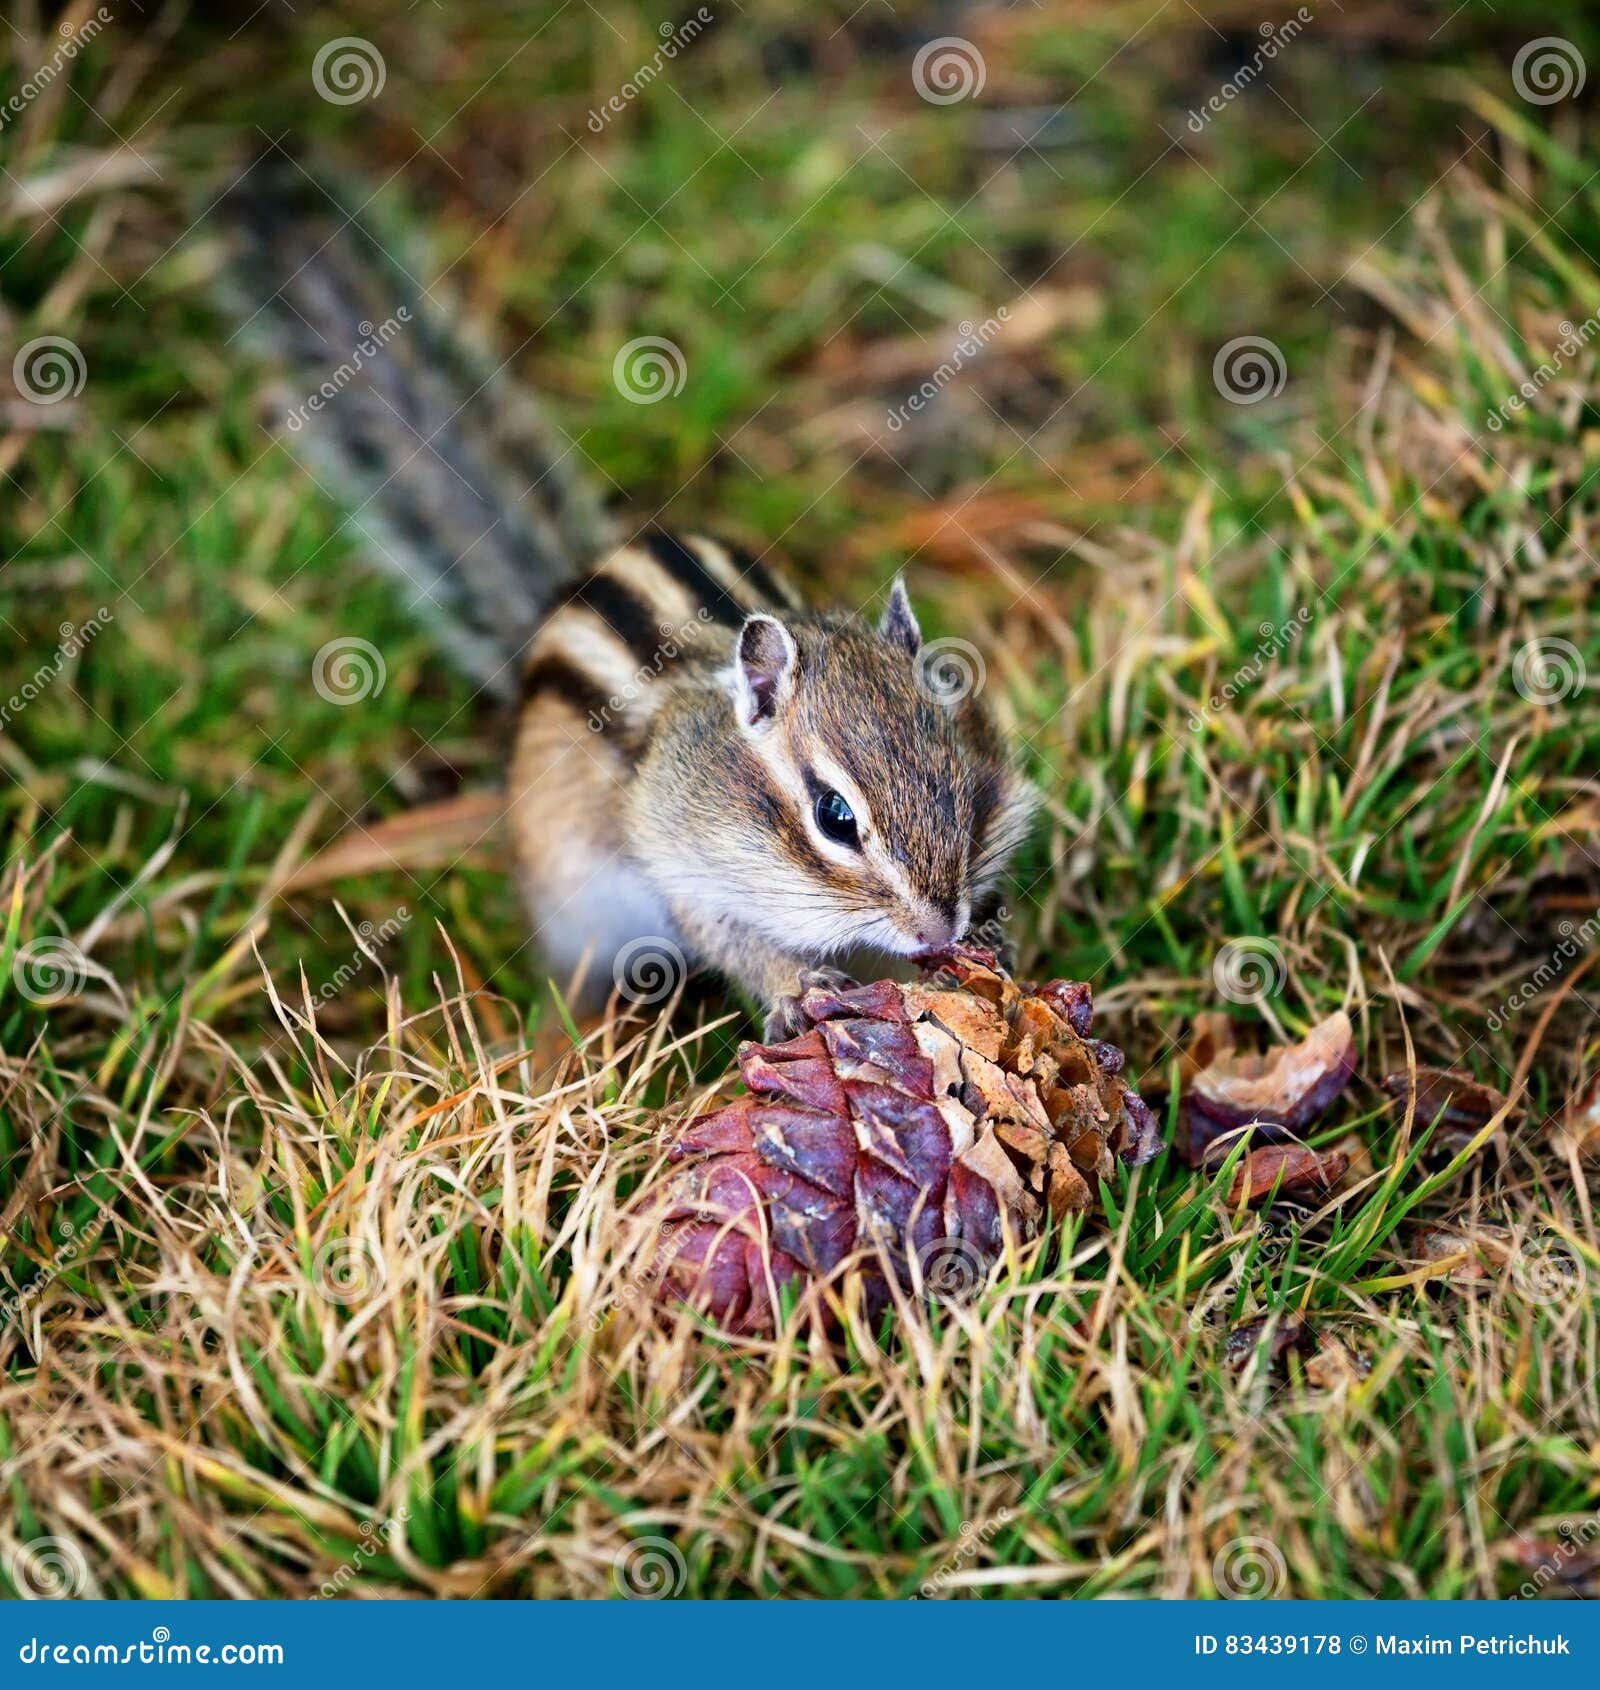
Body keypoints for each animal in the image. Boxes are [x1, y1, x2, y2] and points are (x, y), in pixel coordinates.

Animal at [220, 160, 1037, 1036]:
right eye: (834, 817)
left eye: (963, 777)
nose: (939, 928)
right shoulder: (679, 863)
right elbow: (724, 935)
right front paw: (796, 986)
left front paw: (988, 945)